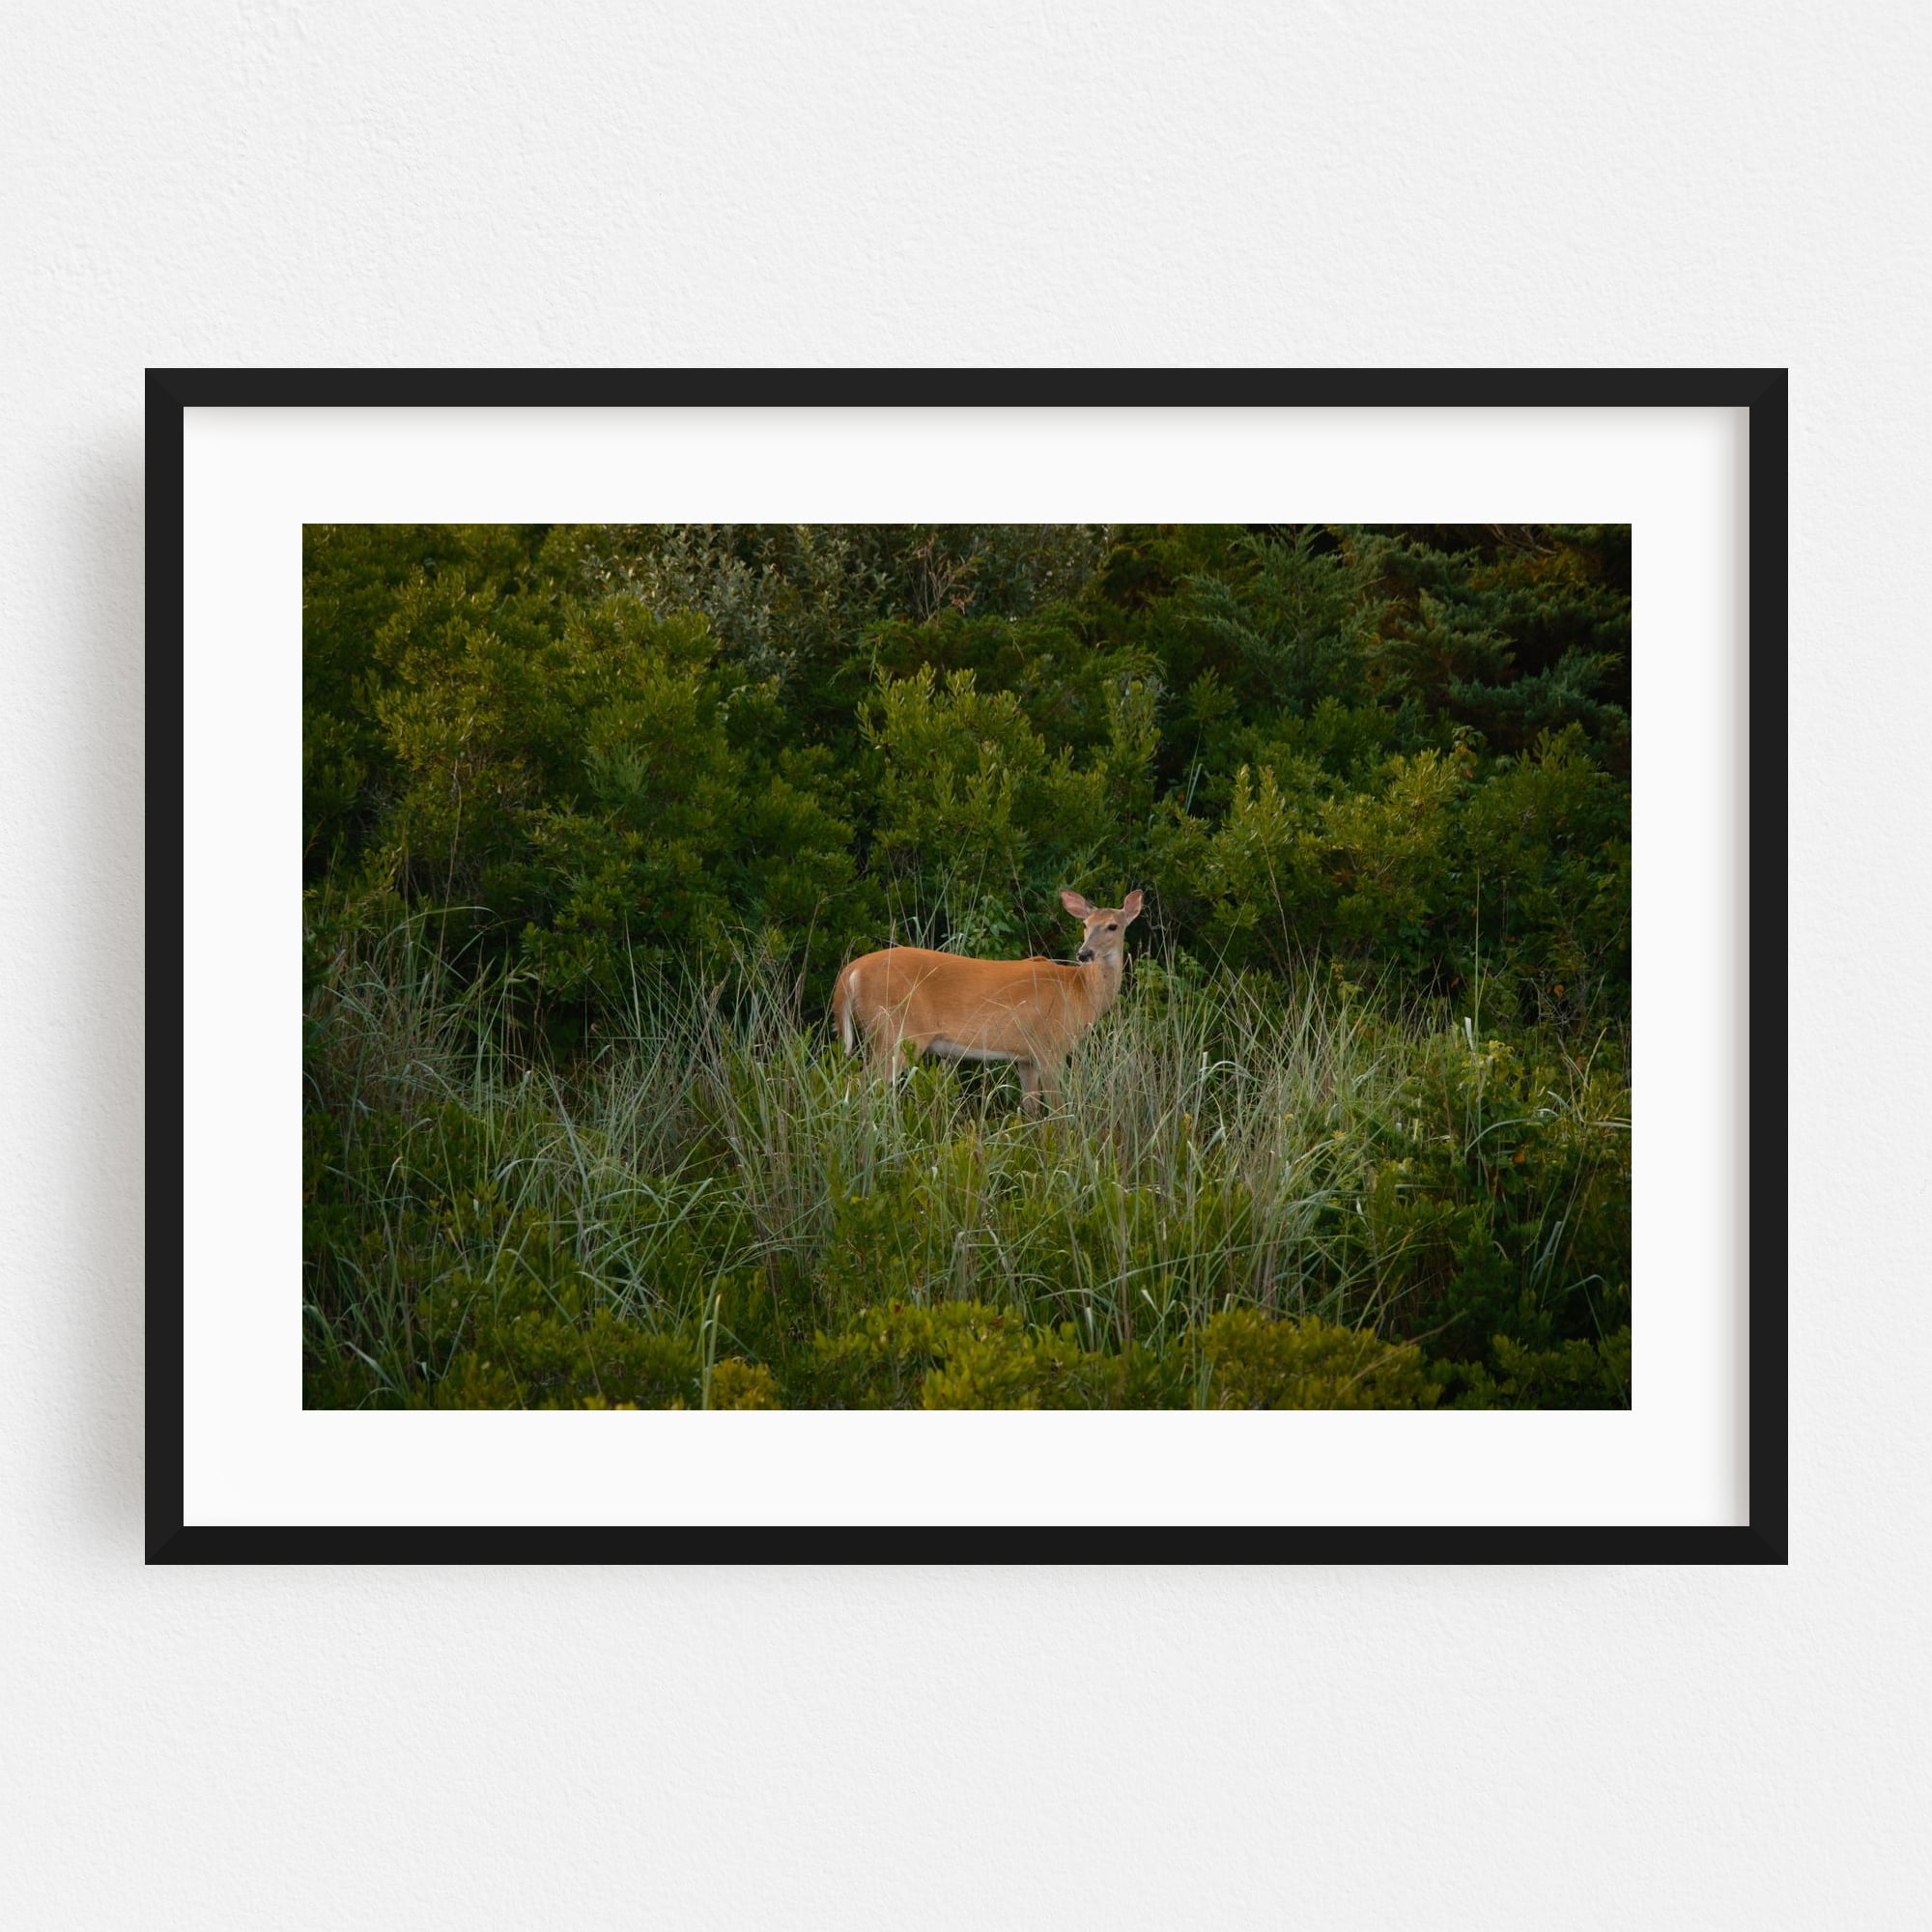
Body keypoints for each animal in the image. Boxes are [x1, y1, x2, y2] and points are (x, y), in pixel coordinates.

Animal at [831, 889, 1144, 1114]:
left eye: (1112, 926)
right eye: (1085, 924)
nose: (1084, 953)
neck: (1079, 991)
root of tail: (849, 973)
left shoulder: (1025, 1056)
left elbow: (1030, 1107)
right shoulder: (1050, 1045)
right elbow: (1056, 1108)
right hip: (897, 1030)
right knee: (860, 1084)